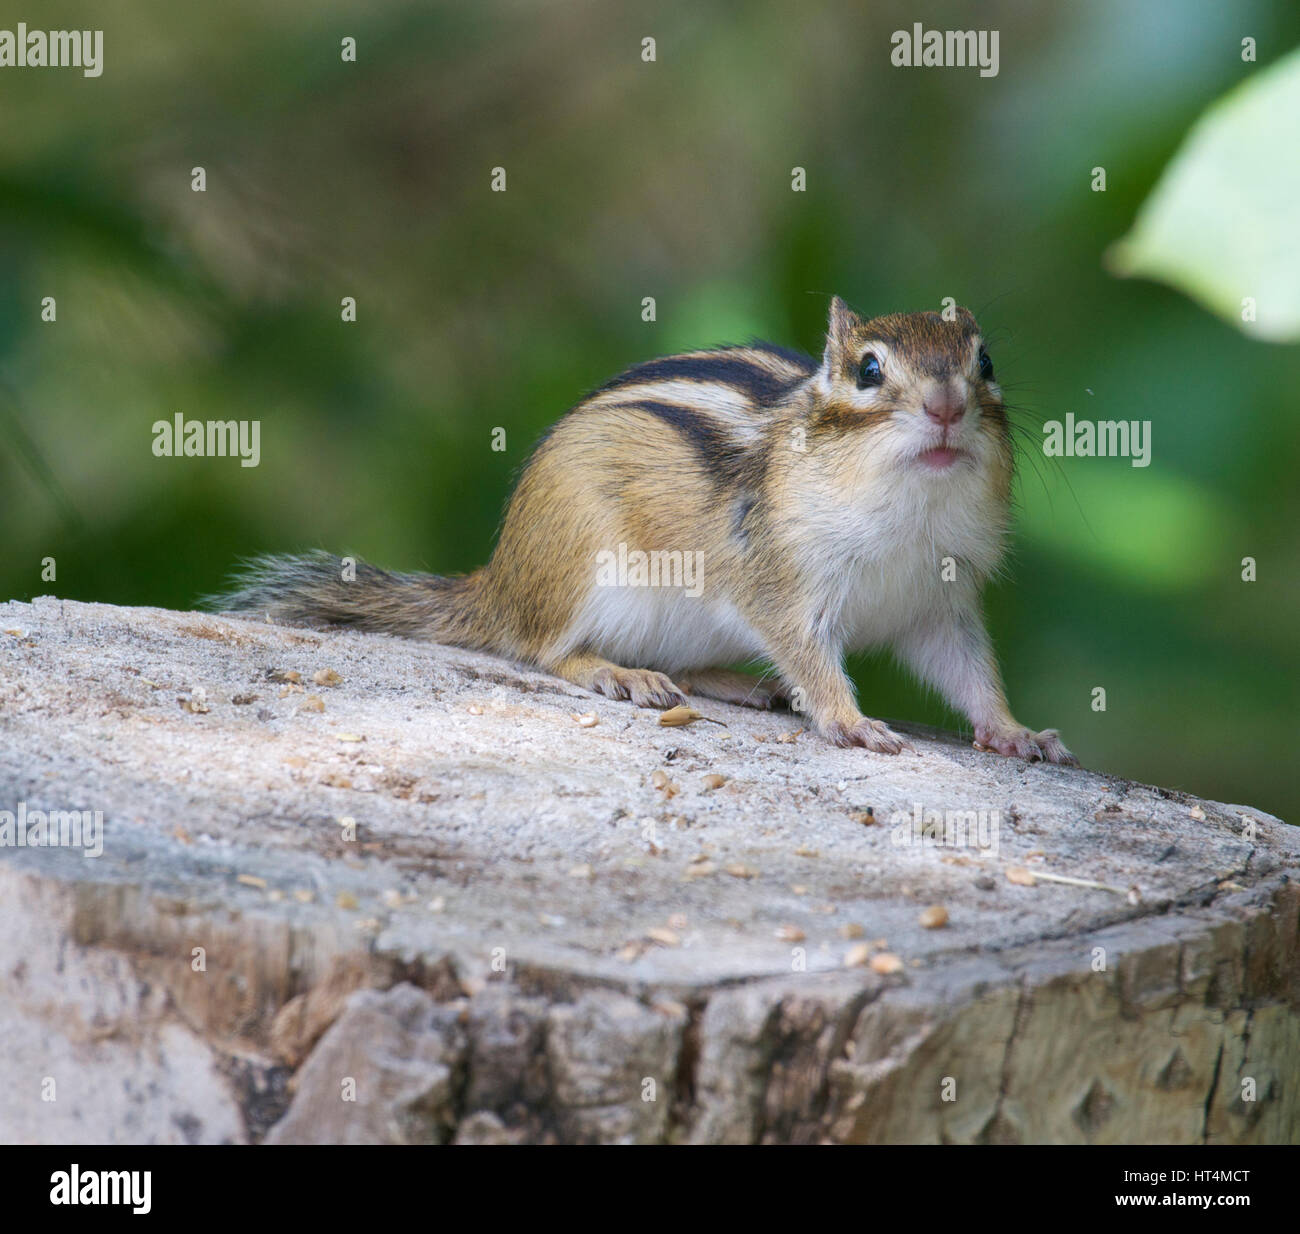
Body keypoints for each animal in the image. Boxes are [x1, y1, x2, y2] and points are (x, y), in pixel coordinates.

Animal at [214, 297, 1074, 764]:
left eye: (985, 362)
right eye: (868, 370)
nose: (946, 406)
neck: (910, 516)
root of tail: (500, 581)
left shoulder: (939, 605)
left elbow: (971, 674)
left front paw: (1016, 732)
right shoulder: (781, 583)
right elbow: (810, 658)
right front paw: (853, 722)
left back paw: (730, 682)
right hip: (587, 572)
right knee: (543, 649)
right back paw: (617, 674)